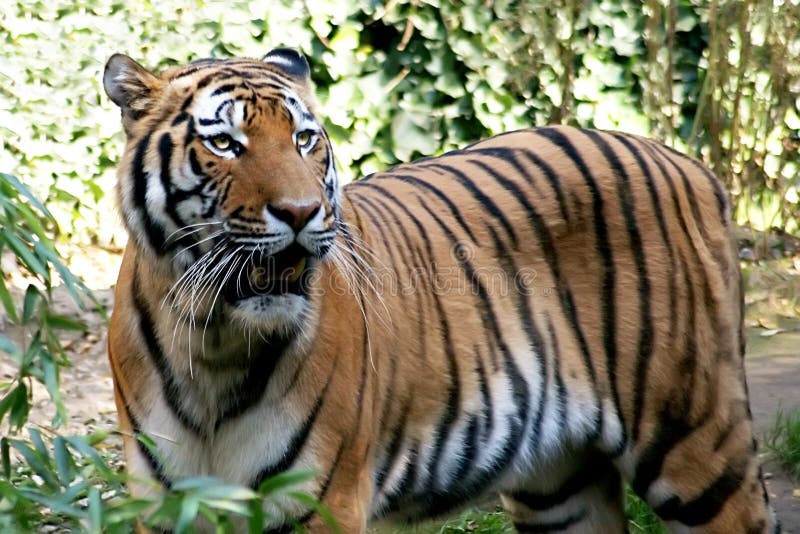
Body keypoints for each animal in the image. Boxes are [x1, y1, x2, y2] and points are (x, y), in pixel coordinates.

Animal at [103, 47, 778, 533]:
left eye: (303, 139)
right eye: (224, 143)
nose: (301, 212)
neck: (211, 343)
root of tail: (691, 164)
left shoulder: (323, 502)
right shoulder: (160, 506)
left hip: (697, 446)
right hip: (560, 487)